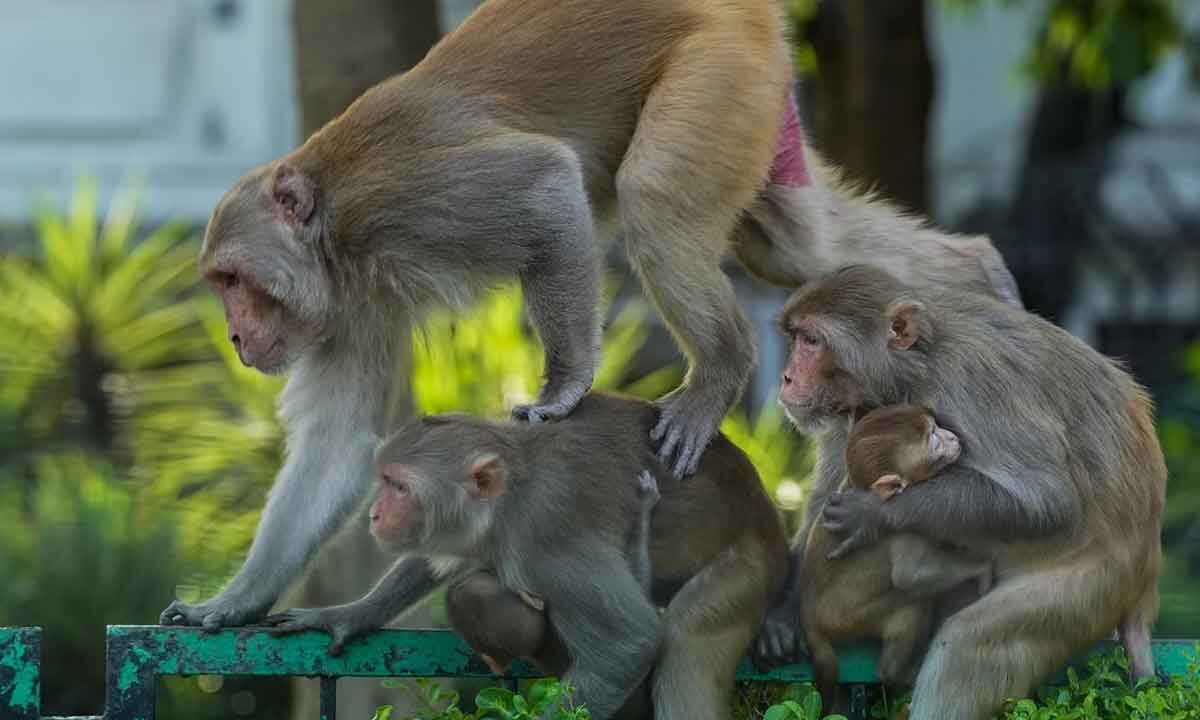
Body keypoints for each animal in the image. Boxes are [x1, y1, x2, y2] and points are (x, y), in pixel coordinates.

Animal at [161, 0, 1021, 633]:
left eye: (234, 279)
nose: (234, 333)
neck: (334, 226)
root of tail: (744, 12)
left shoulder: (408, 203)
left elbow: (545, 186)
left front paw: (565, 388)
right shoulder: (350, 302)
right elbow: (341, 438)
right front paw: (236, 600)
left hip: (717, 70)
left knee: (654, 198)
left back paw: (721, 370)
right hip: (760, 95)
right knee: (794, 242)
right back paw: (980, 274)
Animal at [263, 392, 789, 720]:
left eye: (398, 486)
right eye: (385, 480)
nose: (374, 513)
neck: (510, 495)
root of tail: (763, 510)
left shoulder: (546, 536)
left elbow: (631, 642)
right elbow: (436, 559)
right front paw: (348, 615)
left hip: (745, 569)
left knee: (685, 648)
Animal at [799, 405, 992, 713]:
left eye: (936, 426)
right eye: (933, 441)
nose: (952, 437)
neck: (863, 487)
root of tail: (809, 618)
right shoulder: (903, 527)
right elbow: (910, 574)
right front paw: (981, 567)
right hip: (846, 619)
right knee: (910, 601)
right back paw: (895, 673)